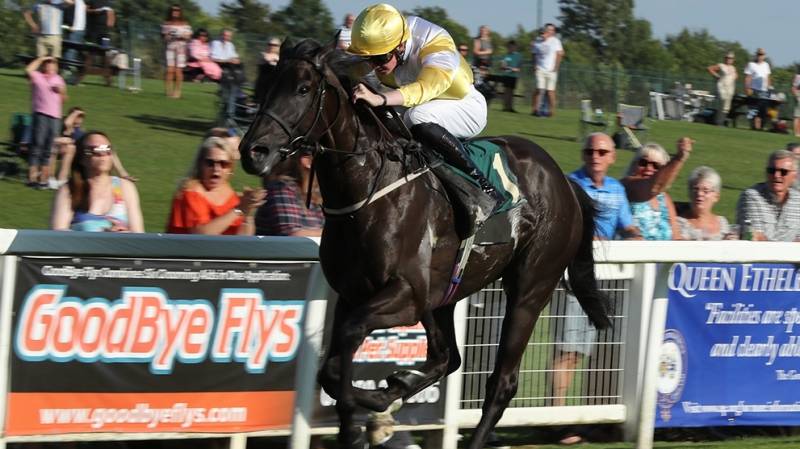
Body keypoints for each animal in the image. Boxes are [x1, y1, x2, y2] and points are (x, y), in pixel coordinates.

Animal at [239, 39, 612, 449]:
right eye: (269, 83)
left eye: (303, 89)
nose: (253, 151)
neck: (369, 191)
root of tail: (565, 182)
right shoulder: (354, 294)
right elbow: (333, 370)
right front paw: (370, 411)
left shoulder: (406, 295)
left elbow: (345, 350)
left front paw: (366, 417)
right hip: (447, 292)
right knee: (447, 357)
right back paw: (397, 388)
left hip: (530, 288)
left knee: (501, 382)